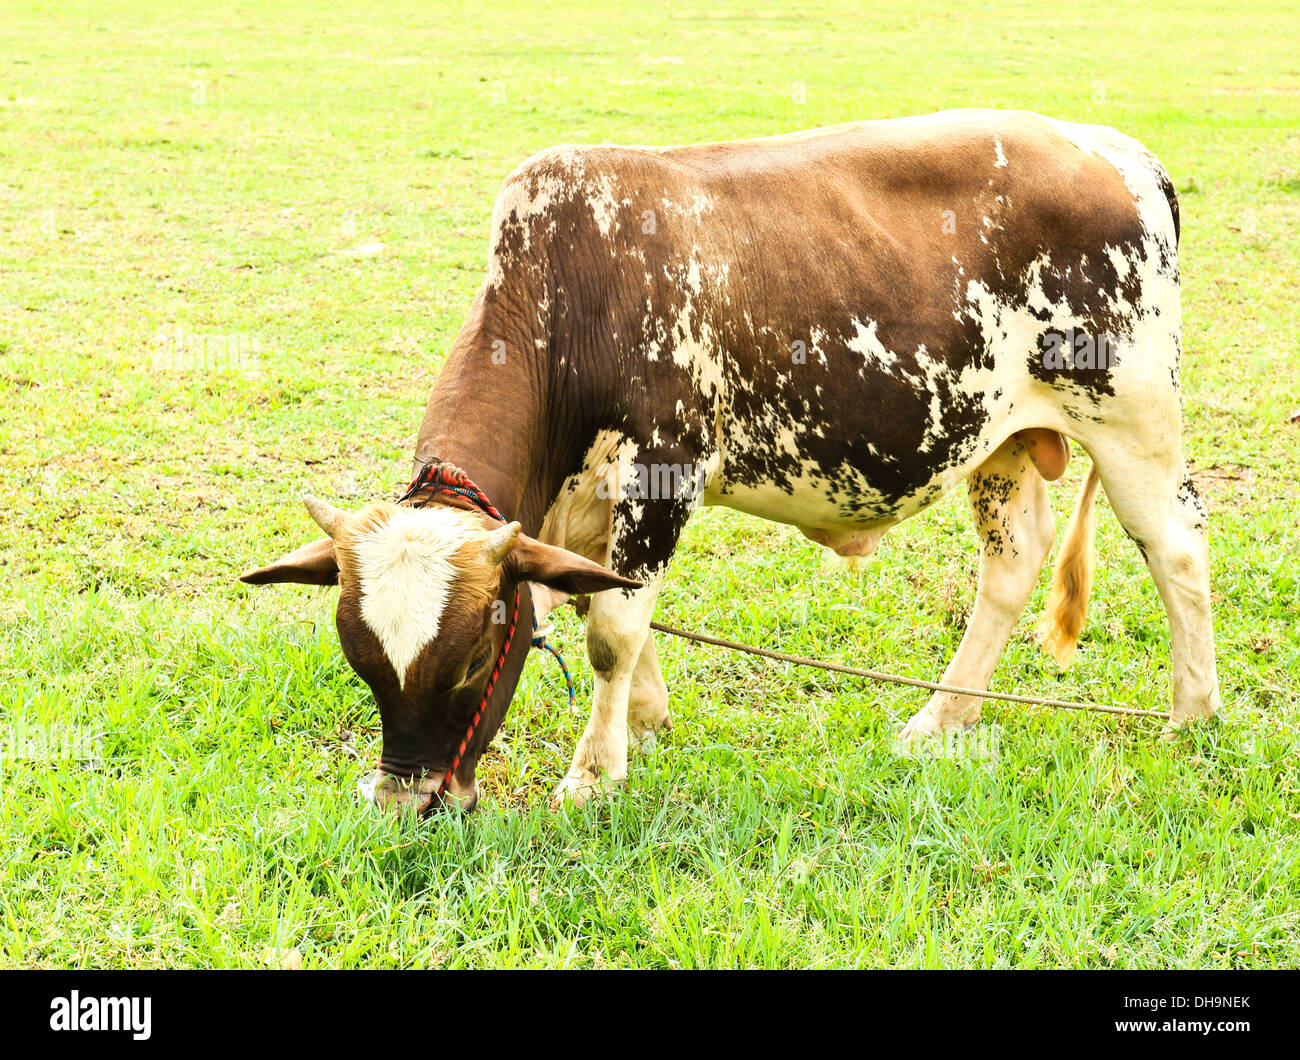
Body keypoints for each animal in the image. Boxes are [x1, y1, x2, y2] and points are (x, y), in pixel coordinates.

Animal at [241, 109, 1219, 814]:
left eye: (477, 657)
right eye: (361, 660)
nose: (406, 805)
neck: (569, 301)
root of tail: (1117, 149)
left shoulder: (662, 472)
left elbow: (612, 628)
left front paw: (593, 772)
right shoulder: (568, 509)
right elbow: (596, 598)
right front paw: (645, 720)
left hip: (1131, 413)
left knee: (1175, 546)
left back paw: (1191, 713)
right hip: (1002, 437)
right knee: (1012, 568)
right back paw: (941, 718)